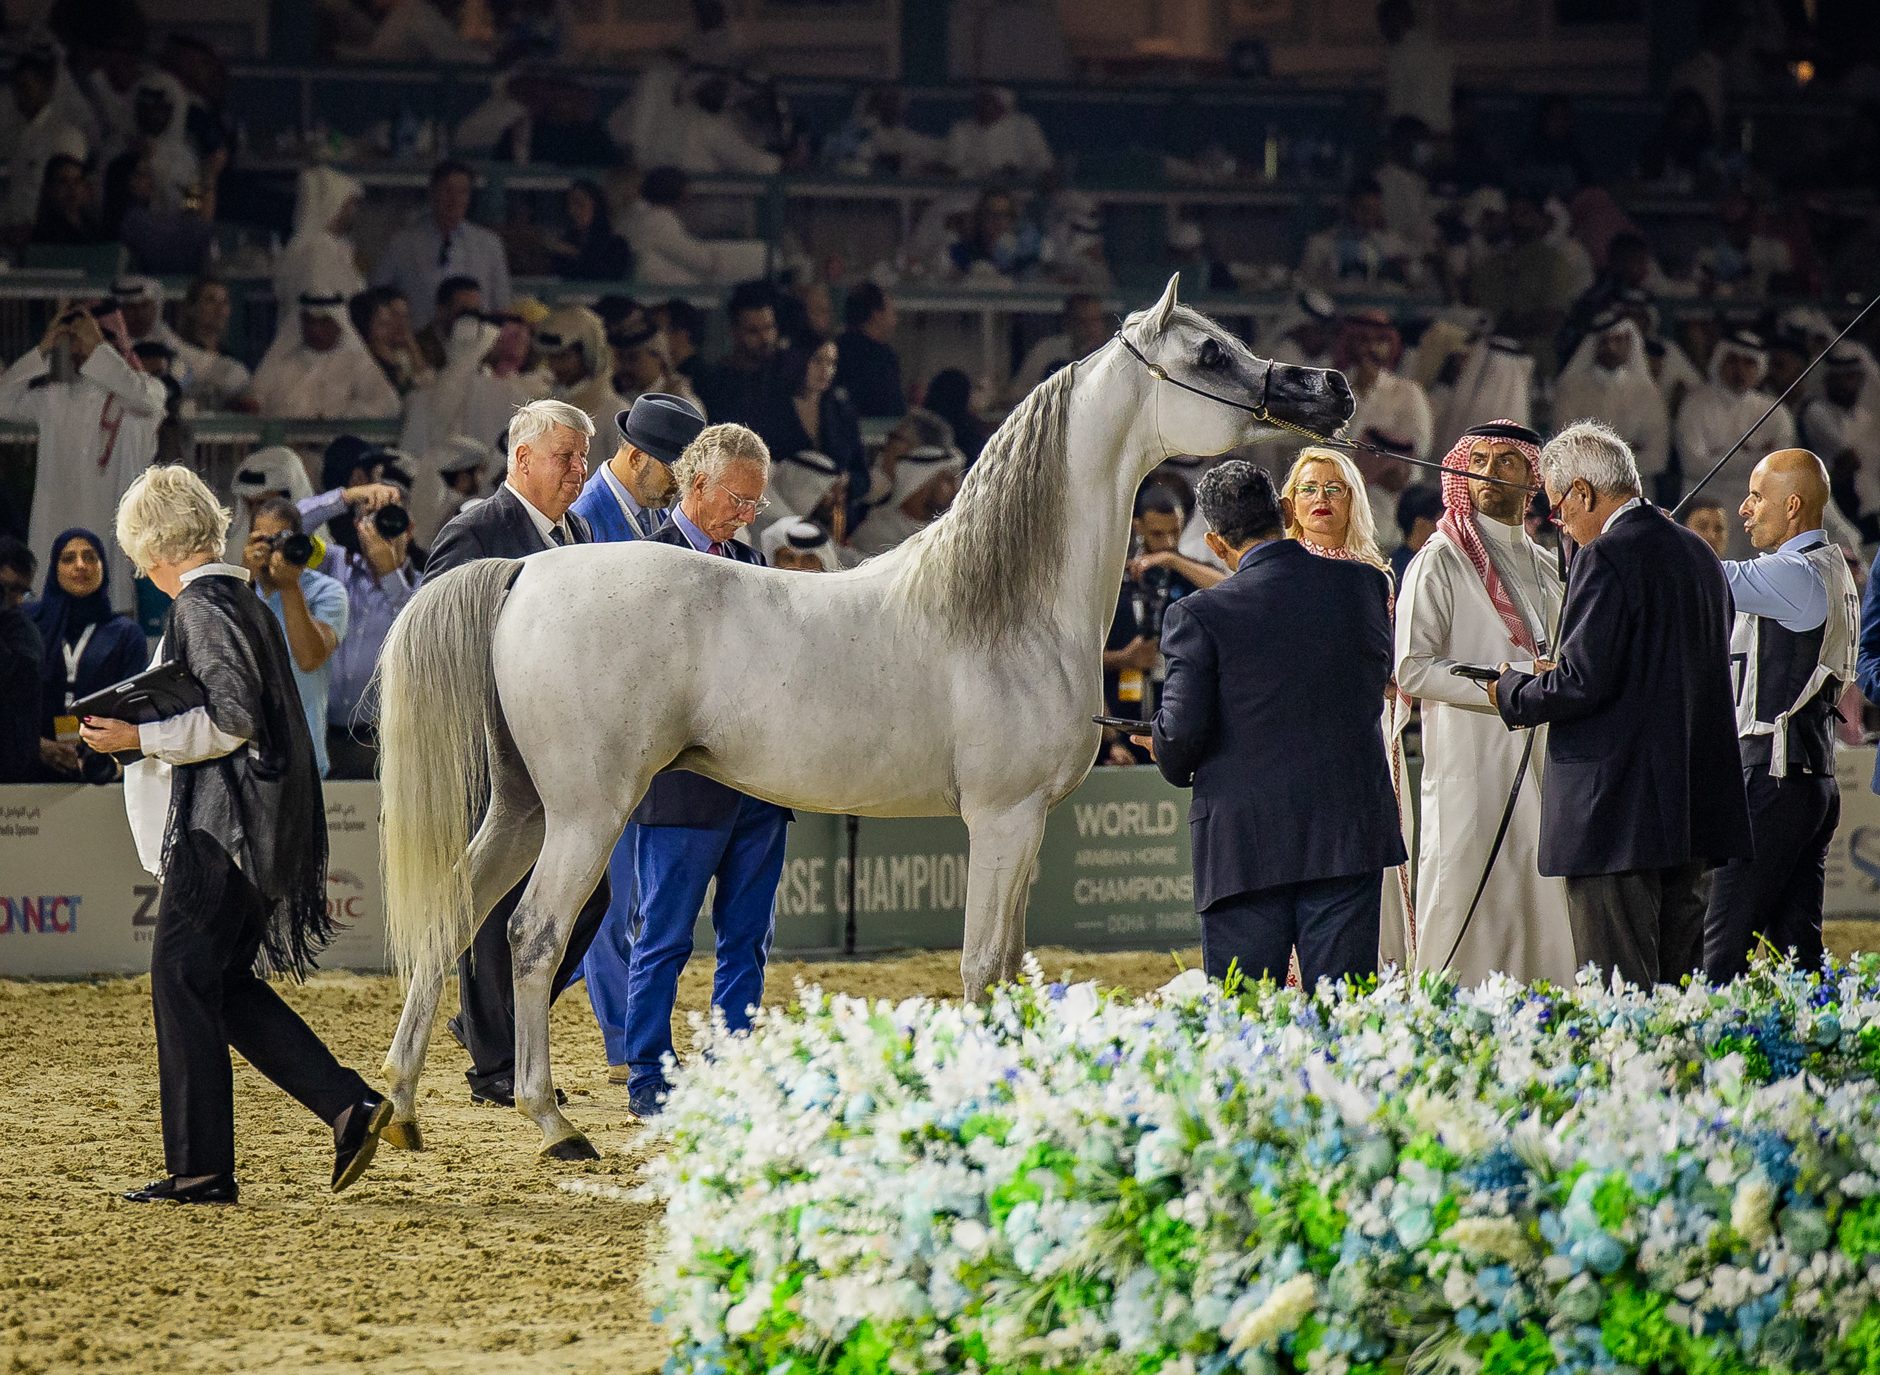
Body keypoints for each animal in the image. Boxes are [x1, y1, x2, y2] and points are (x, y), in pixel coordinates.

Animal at [373, 275, 1356, 1159]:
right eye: (1210, 354)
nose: (1331, 389)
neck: (1006, 606)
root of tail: (525, 573)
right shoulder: (1000, 820)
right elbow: (981, 967)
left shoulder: (1030, 824)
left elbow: (1010, 964)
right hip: (584, 814)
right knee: (532, 936)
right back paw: (551, 1121)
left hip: (523, 806)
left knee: (452, 914)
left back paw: (401, 1109)